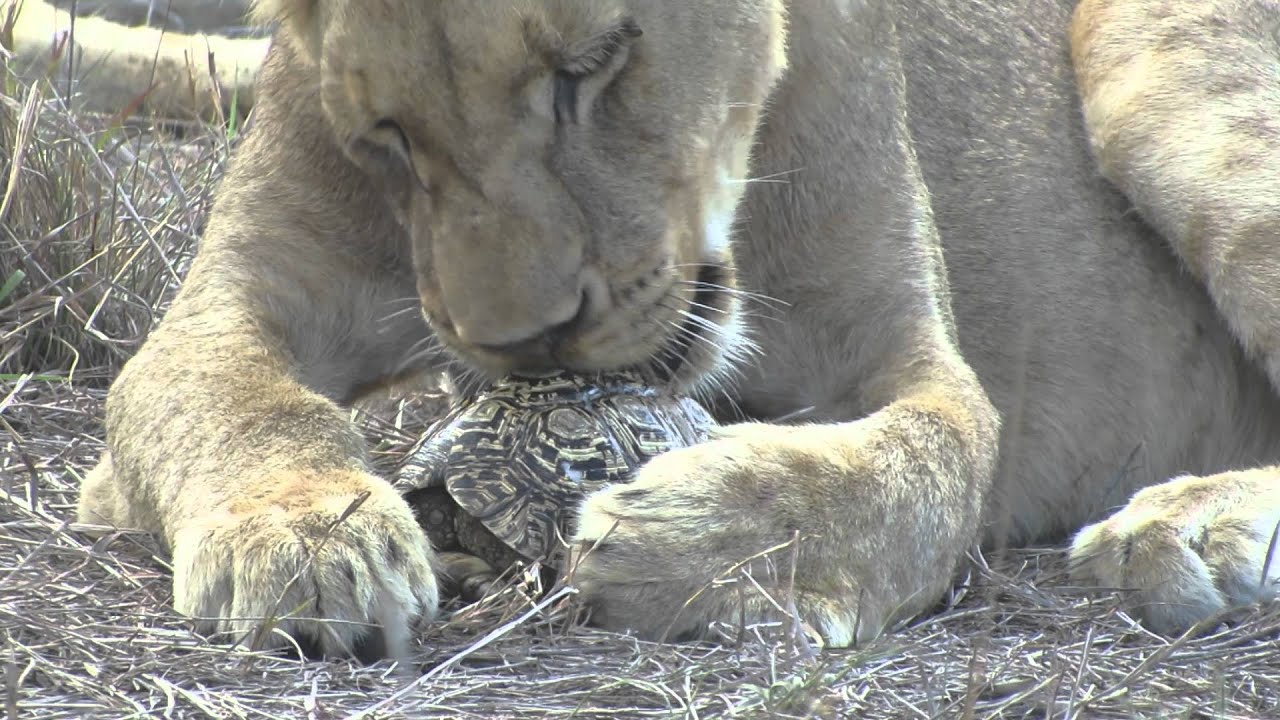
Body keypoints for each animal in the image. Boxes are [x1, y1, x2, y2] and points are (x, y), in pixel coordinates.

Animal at [52, 0, 1280, 660]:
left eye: (593, 64)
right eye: (386, 131)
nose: (529, 344)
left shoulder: (909, 358)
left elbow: (912, 467)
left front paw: (683, 541)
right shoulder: (238, 292)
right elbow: (224, 402)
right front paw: (311, 540)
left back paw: (1183, 528)